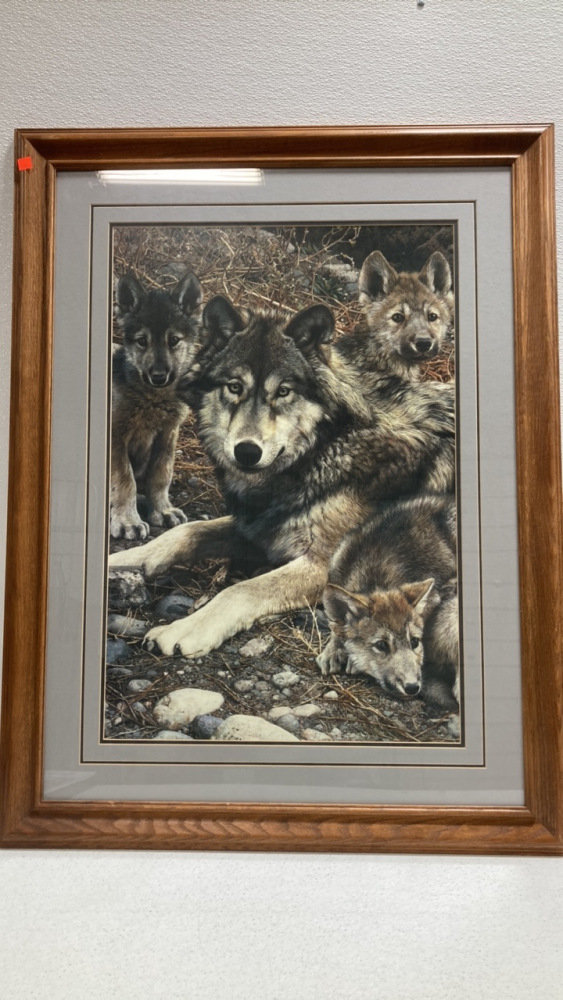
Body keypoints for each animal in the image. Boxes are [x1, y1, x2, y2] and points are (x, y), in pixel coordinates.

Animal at [110, 271, 203, 540]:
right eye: (142, 341)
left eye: (174, 340)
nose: (159, 377)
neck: (152, 399)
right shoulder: (116, 436)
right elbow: (125, 480)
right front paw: (127, 521)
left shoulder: (168, 433)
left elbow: (161, 475)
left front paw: (162, 510)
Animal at [317, 494, 459, 706]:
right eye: (381, 645)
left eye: (415, 642)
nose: (412, 687)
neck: (373, 575)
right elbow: (336, 627)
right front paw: (332, 651)